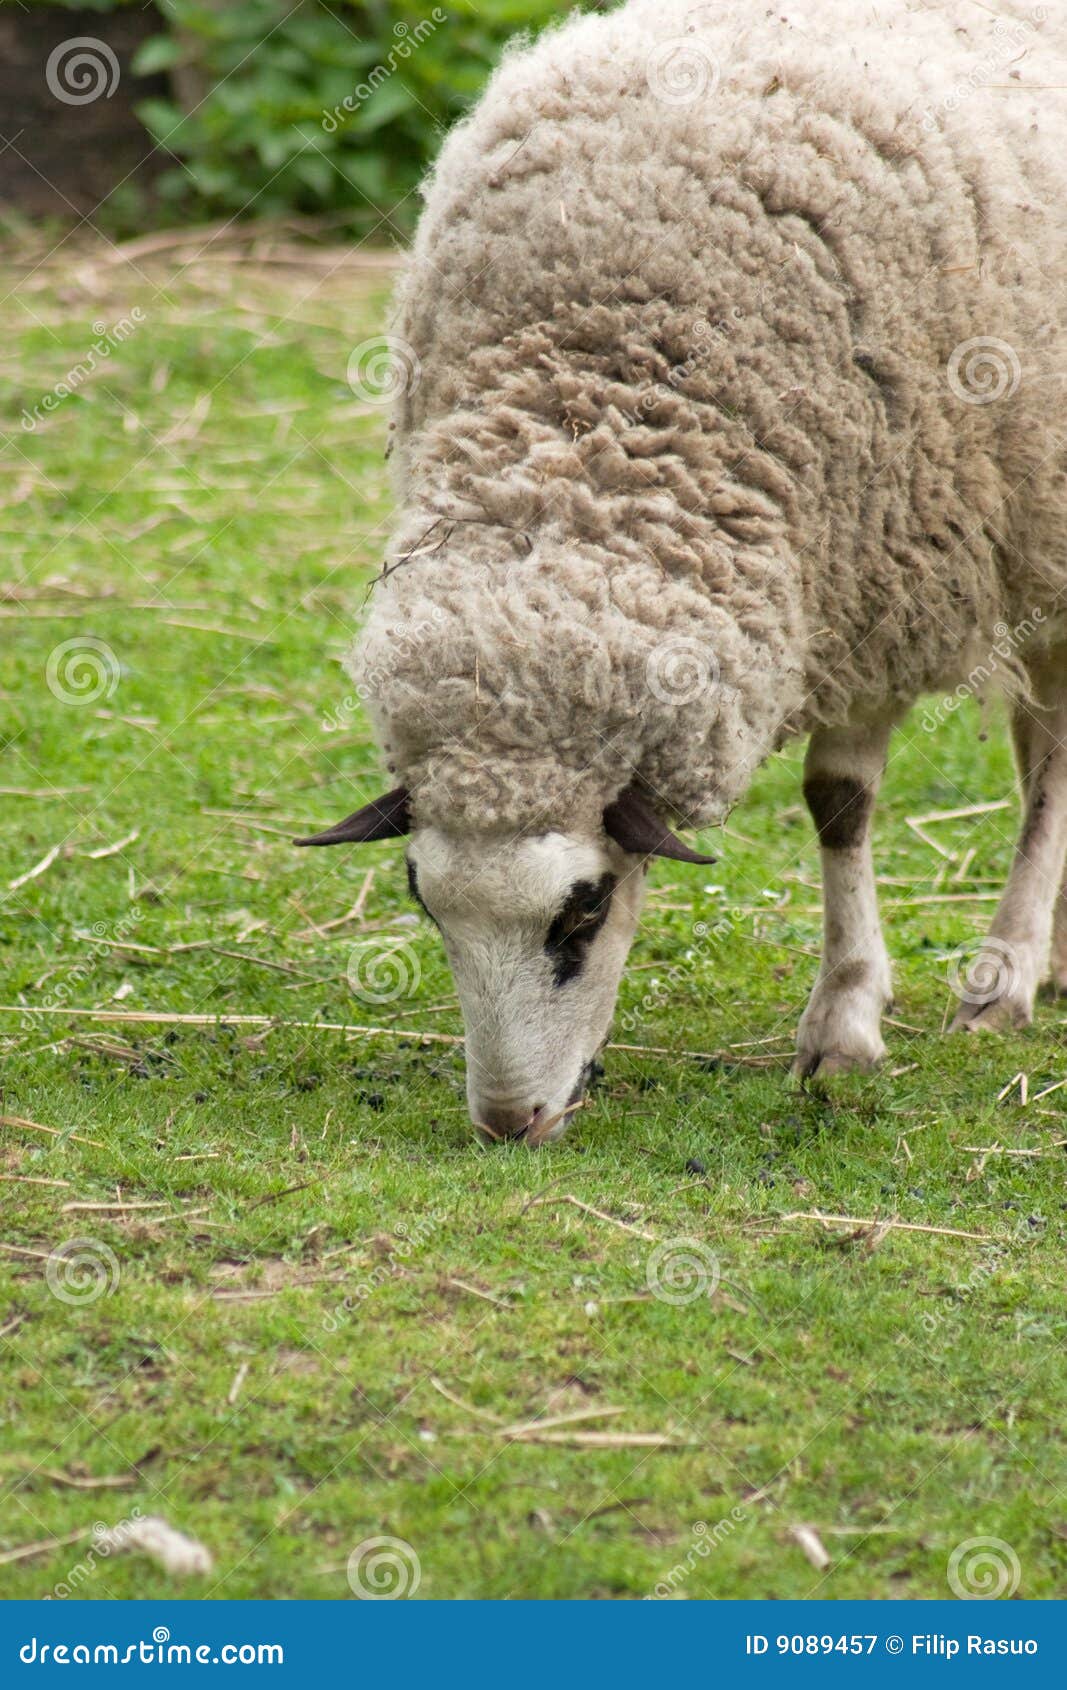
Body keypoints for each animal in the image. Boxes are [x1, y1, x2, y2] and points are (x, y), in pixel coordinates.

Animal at [298, 0, 1067, 1143]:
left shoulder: (880, 586)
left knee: (1051, 757)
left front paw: (842, 1024)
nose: (508, 1123)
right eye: (421, 899)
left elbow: (838, 804)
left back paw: (1003, 977)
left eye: (583, 909)